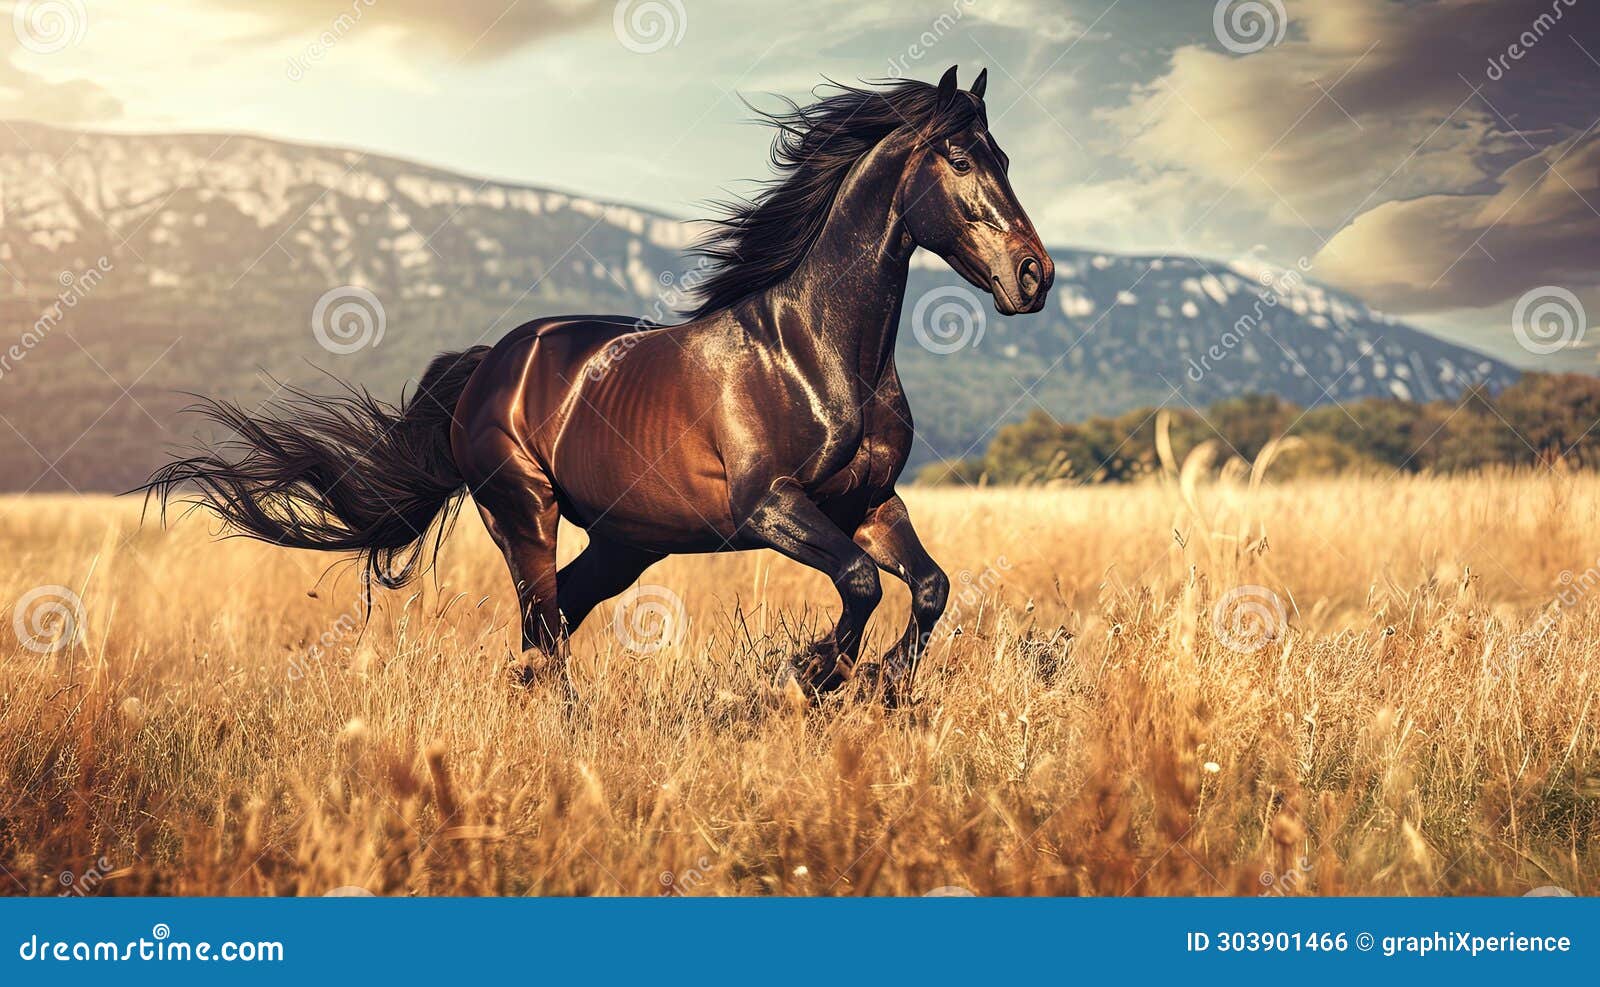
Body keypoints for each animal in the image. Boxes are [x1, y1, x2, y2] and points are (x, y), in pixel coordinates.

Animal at [145, 65, 1054, 706]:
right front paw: (816, 669)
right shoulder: (771, 505)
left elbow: (929, 587)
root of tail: (493, 362)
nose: (1033, 276)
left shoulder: (867, 502)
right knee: (544, 625)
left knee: (549, 630)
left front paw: (883, 681)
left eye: (1008, 158)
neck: (816, 353)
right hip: (524, 513)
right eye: (962, 158)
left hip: (625, 541)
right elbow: (862, 583)